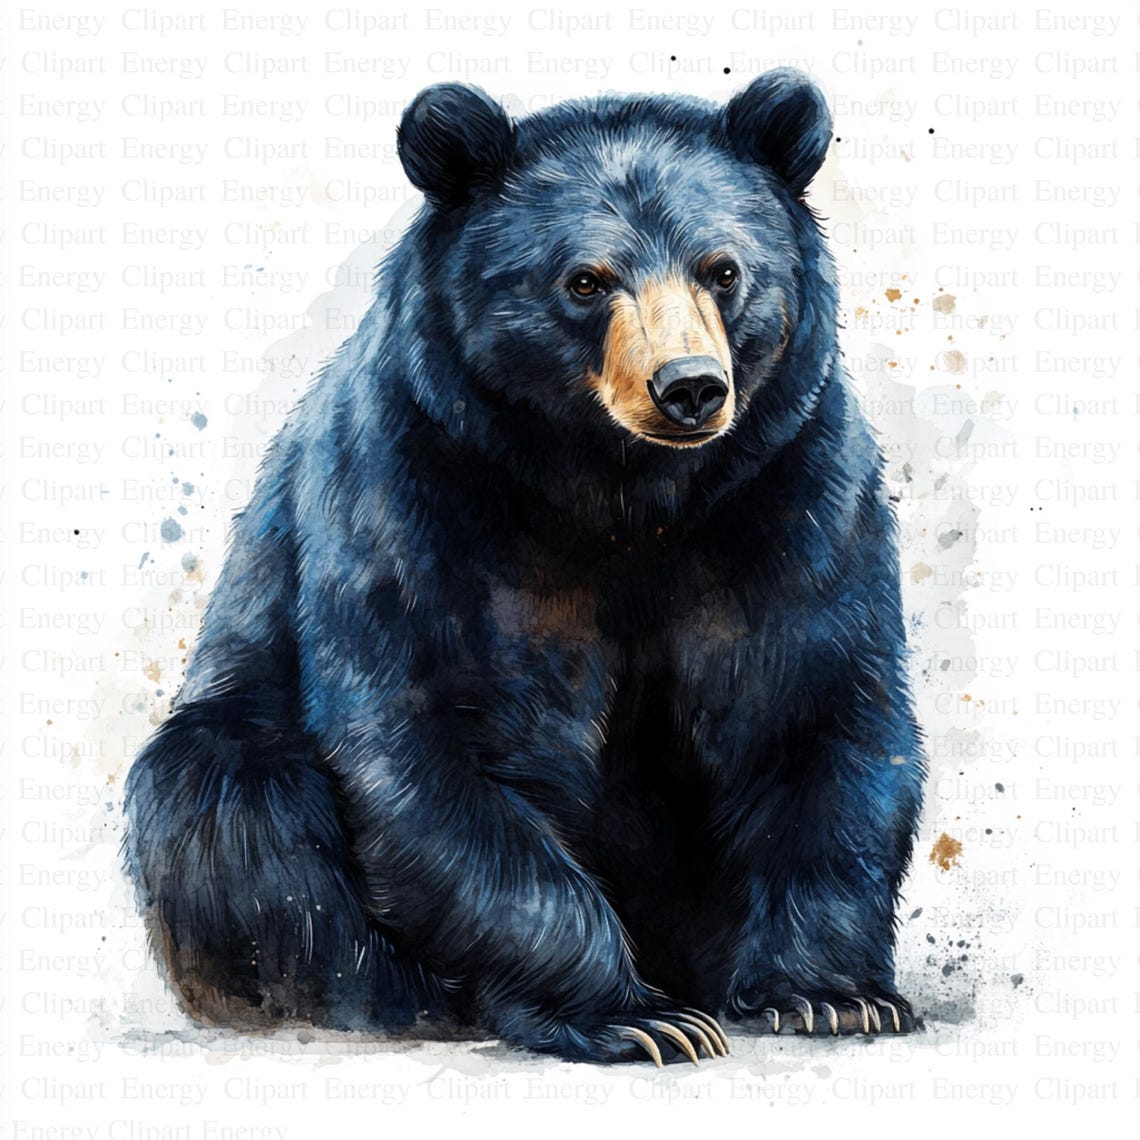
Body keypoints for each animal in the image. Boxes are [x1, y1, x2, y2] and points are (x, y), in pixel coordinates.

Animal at [123, 70, 925, 1065]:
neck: (625, 494)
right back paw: (393, 997)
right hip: (235, 754)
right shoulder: (424, 496)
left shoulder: (787, 495)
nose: (691, 388)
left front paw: (832, 995)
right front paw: (636, 1015)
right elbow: (440, 737)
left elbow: (814, 709)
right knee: (226, 803)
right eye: (585, 280)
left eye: (724, 269)